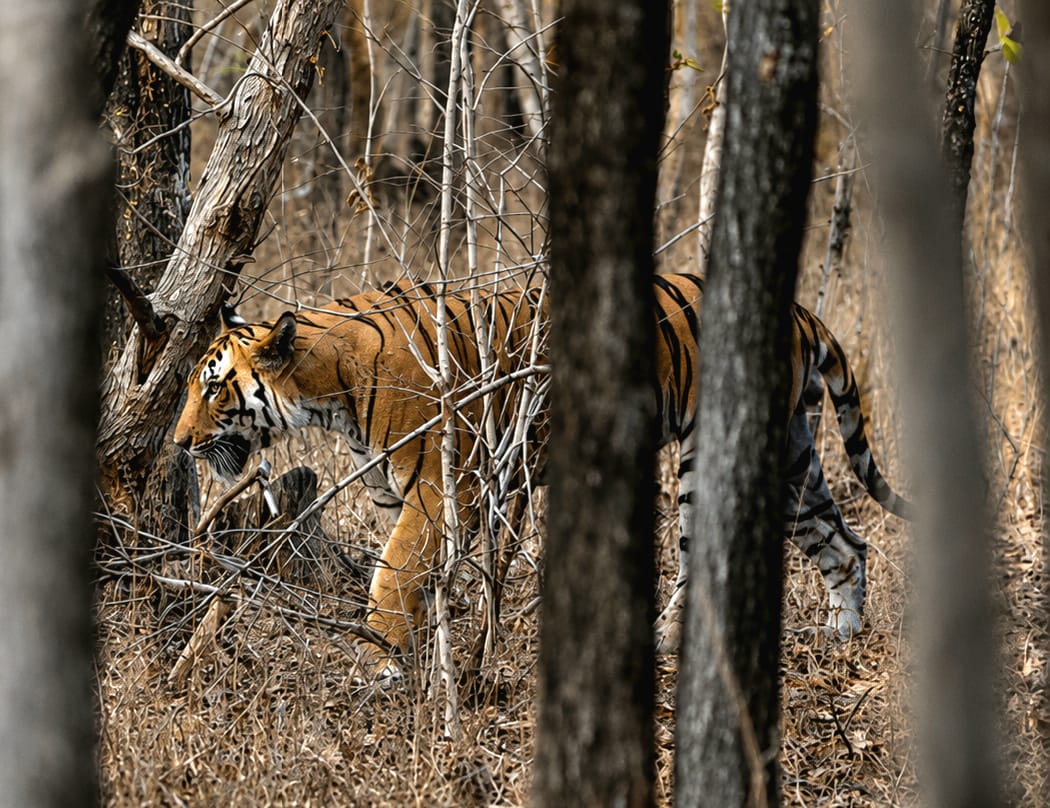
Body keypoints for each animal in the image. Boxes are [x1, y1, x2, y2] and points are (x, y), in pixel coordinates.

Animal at [173, 273, 909, 679]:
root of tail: (800, 313)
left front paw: (379, 664)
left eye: (213, 388)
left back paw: (668, 641)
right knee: (846, 543)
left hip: (714, 454)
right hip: (793, 459)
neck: (328, 392)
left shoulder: (444, 492)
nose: (179, 443)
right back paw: (842, 635)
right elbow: (413, 582)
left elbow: (393, 577)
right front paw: (417, 658)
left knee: (706, 557)